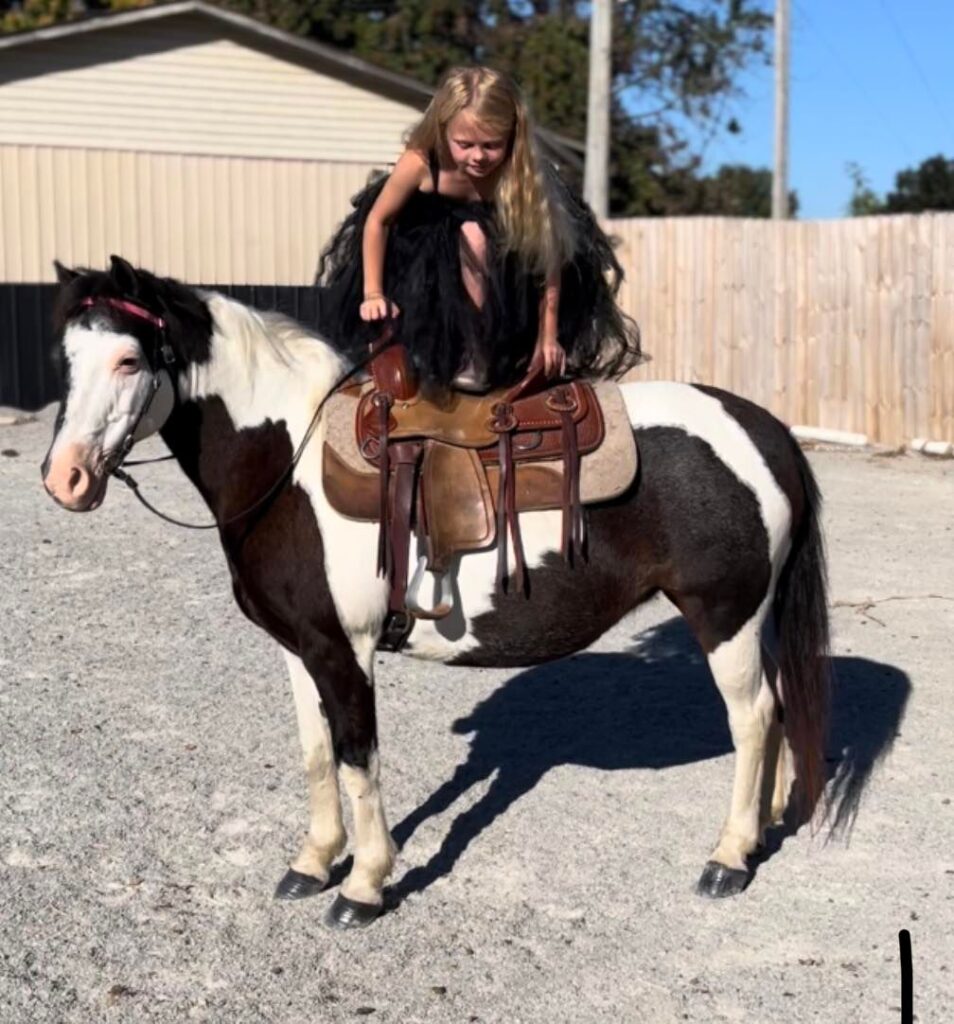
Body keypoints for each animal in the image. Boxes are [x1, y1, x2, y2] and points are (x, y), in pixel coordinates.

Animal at [41, 256, 831, 929]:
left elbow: (358, 759)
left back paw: (727, 858)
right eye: (67, 360)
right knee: (777, 710)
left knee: (754, 719)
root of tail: (766, 431)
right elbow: (316, 754)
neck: (287, 460)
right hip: (751, 621)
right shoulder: (300, 648)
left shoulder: (345, 650)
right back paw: (758, 836)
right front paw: (313, 863)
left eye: (129, 359)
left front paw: (363, 885)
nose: (65, 479)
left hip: (725, 617)